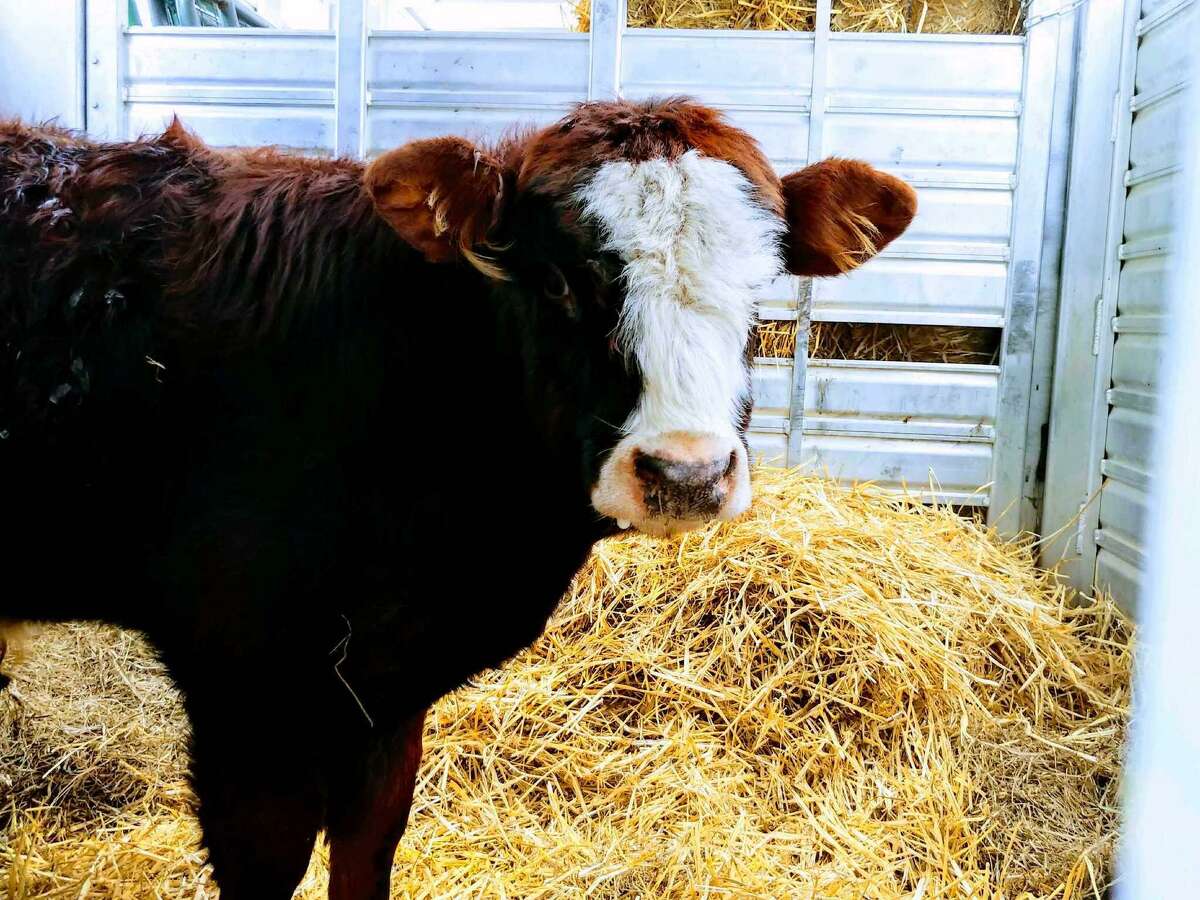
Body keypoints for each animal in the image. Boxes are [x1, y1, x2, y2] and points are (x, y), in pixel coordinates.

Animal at [0, 98, 915, 898]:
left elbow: (365, 853)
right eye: (559, 284)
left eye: (761, 289)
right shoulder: (243, 680)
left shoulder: (387, 693)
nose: (687, 473)